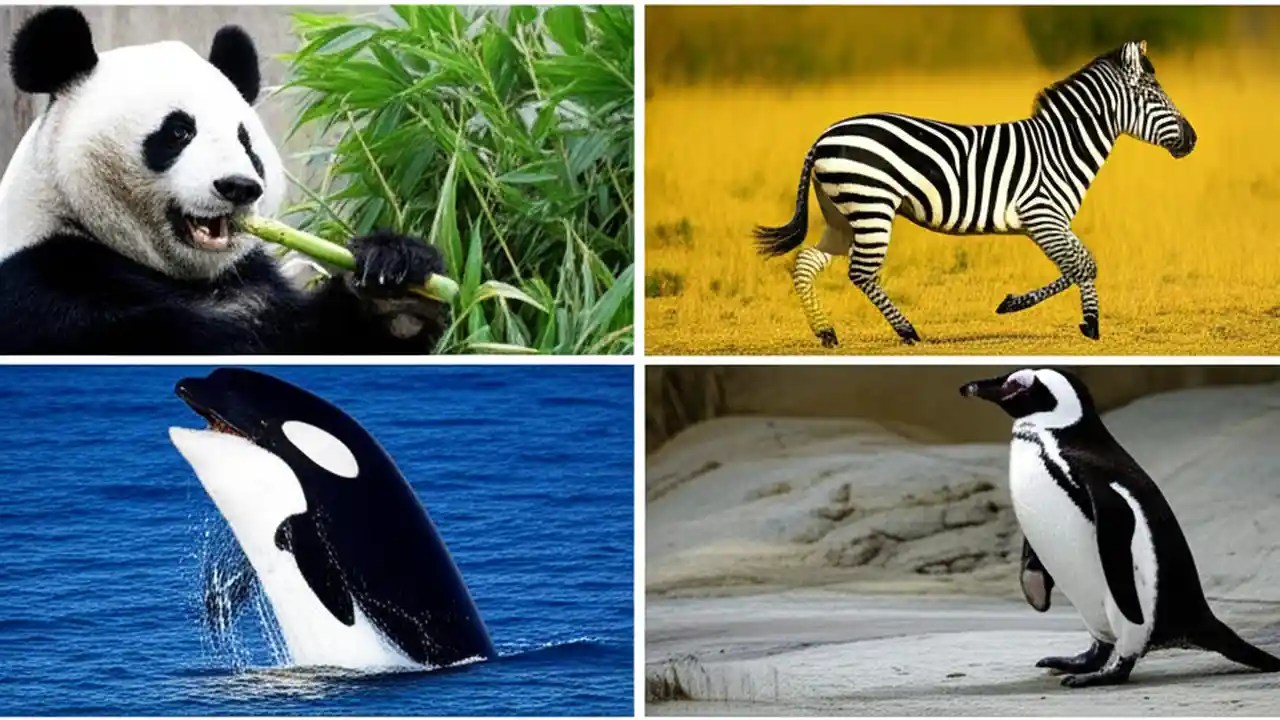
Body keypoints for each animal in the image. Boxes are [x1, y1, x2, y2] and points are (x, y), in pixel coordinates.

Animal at [0, 6, 449, 354]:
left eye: (245, 140)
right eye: (178, 132)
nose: (238, 186)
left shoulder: (254, 278)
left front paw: (396, 286)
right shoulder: (45, 289)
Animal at [754, 41, 1196, 347]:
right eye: (1155, 95)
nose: (1192, 140)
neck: (1060, 148)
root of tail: (824, 136)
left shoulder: (1054, 221)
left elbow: (1084, 264)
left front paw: (1087, 321)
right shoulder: (1041, 216)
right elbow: (1081, 266)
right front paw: (1054, 313)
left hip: (842, 214)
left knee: (805, 262)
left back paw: (826, 332)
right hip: (871, 205)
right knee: (861, 272)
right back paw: (907, 331)